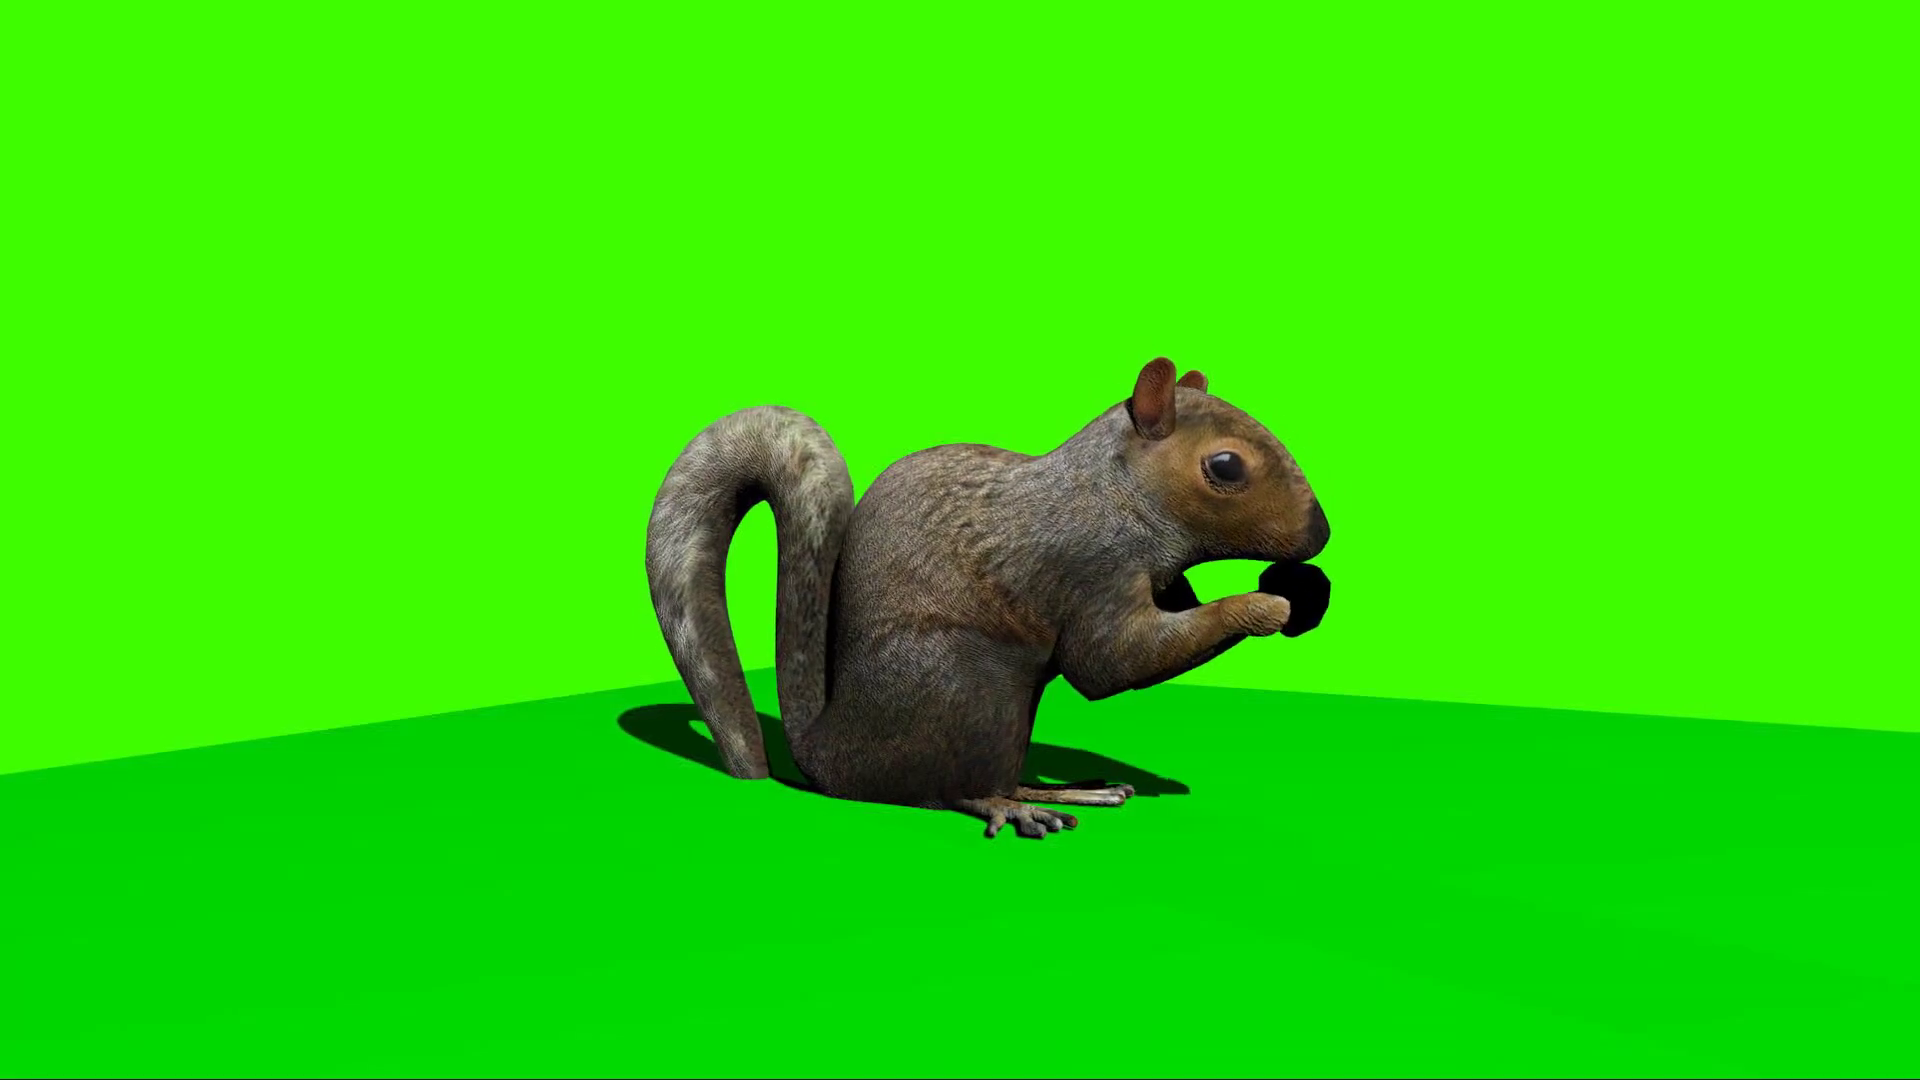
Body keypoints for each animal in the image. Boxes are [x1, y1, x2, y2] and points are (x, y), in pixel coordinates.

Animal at [644, 357, 1331, 839]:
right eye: (1226, 466)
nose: (1320, 535)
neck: (1115, 495)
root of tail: (834, 754)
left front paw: (1302, 591)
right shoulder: (1087, 569)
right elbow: (1109, 662)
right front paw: (1263, 606)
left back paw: (1065, 790)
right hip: (971, 690)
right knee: (951, 789)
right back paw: (1015, 806)